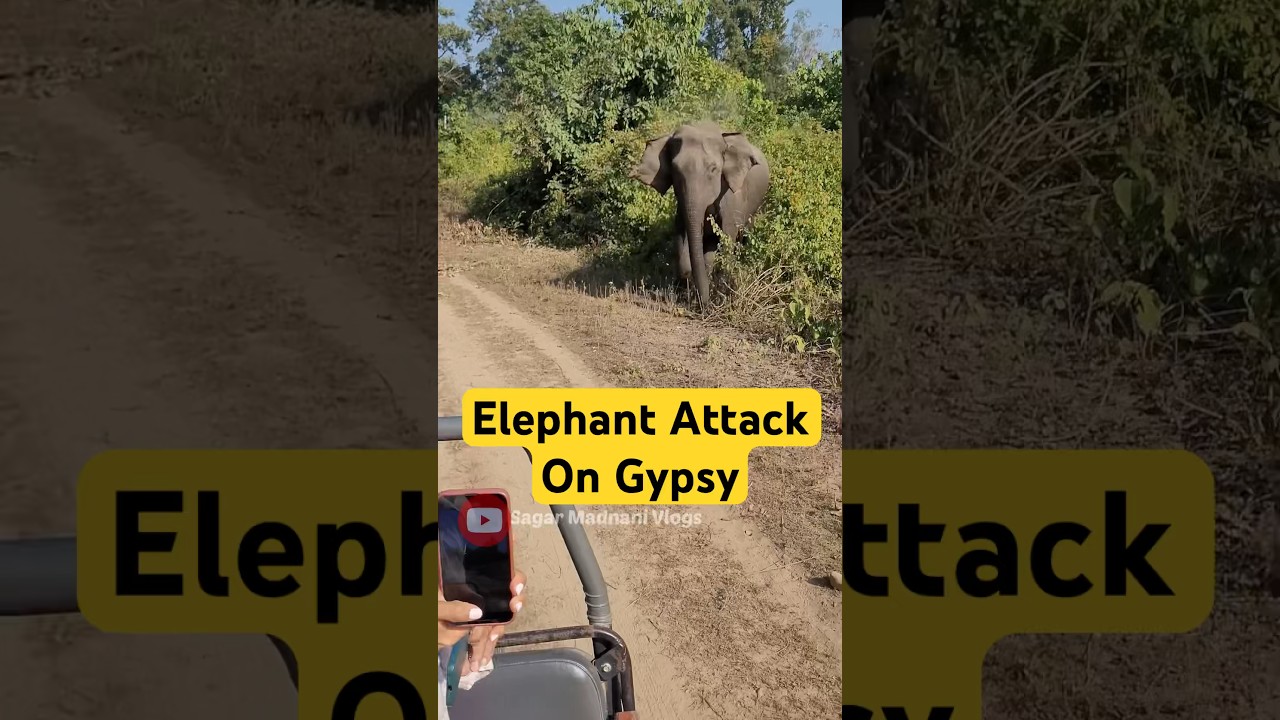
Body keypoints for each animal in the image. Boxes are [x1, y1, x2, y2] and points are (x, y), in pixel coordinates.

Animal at [630, 121, 770, 307]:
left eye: (713, 169)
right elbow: (681, 234)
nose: (706, 307)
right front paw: (687, 286)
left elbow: (728, 236)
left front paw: (721, 295)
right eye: (675, 171)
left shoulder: (731, 198)